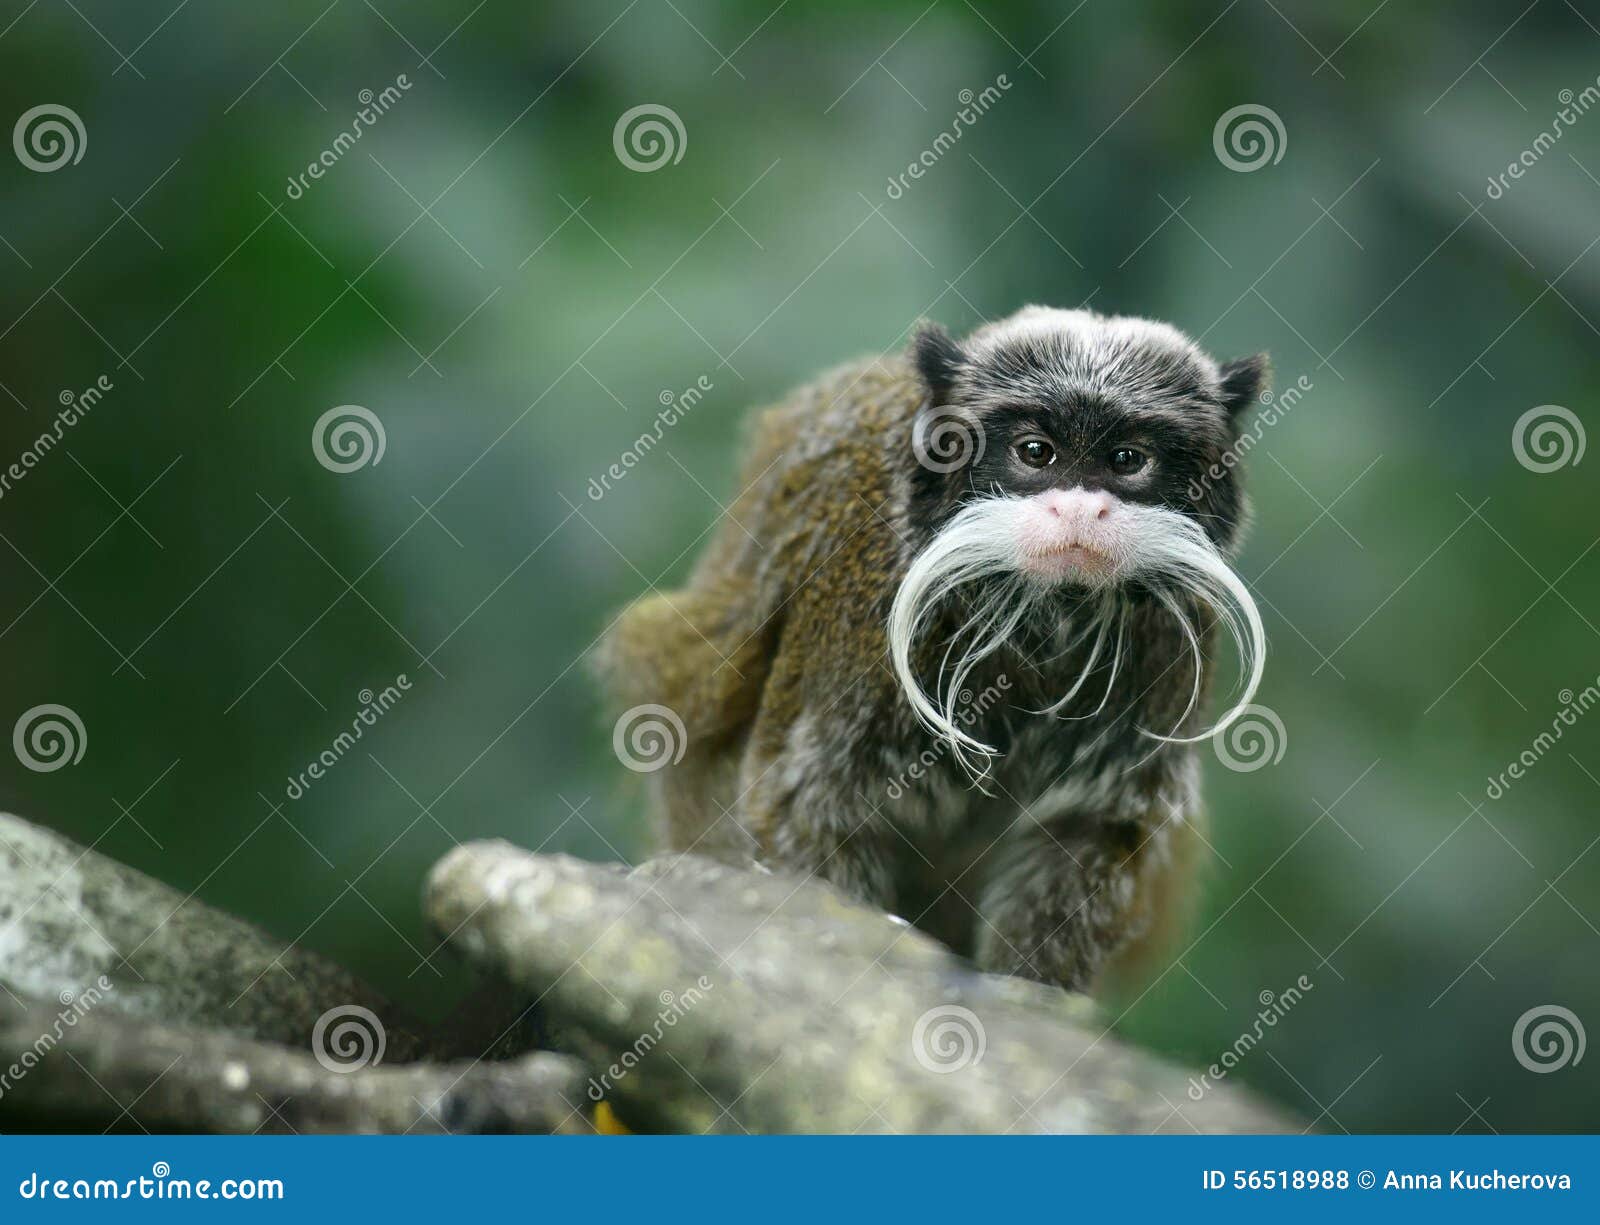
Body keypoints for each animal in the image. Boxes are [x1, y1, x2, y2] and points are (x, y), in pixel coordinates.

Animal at [596, 305, 1269, 992]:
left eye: (1128, 459)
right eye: (1036, 452)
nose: (1081, 510)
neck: (1043, 613)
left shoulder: (1164, 654)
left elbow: (1084, 839)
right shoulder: (861, 616)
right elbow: (807, 807)